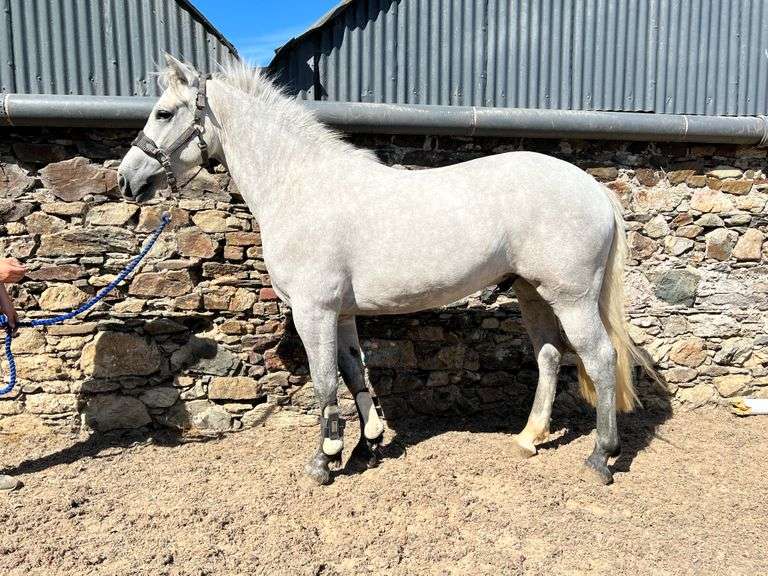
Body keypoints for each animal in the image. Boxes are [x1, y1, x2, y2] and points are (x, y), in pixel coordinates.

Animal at [117, 55, 654, 486]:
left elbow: (324, 382)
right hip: (531, 293)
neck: (300, 186)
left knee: (599, 359)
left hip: (571, 297)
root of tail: (593, 188)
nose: (126, 180)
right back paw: (529, 437)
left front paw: (324, 461)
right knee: (549, 357)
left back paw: (602, 457)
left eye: (164, 112)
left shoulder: (313, 311)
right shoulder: (341, 313)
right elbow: (354, 372)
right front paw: (367, 444)